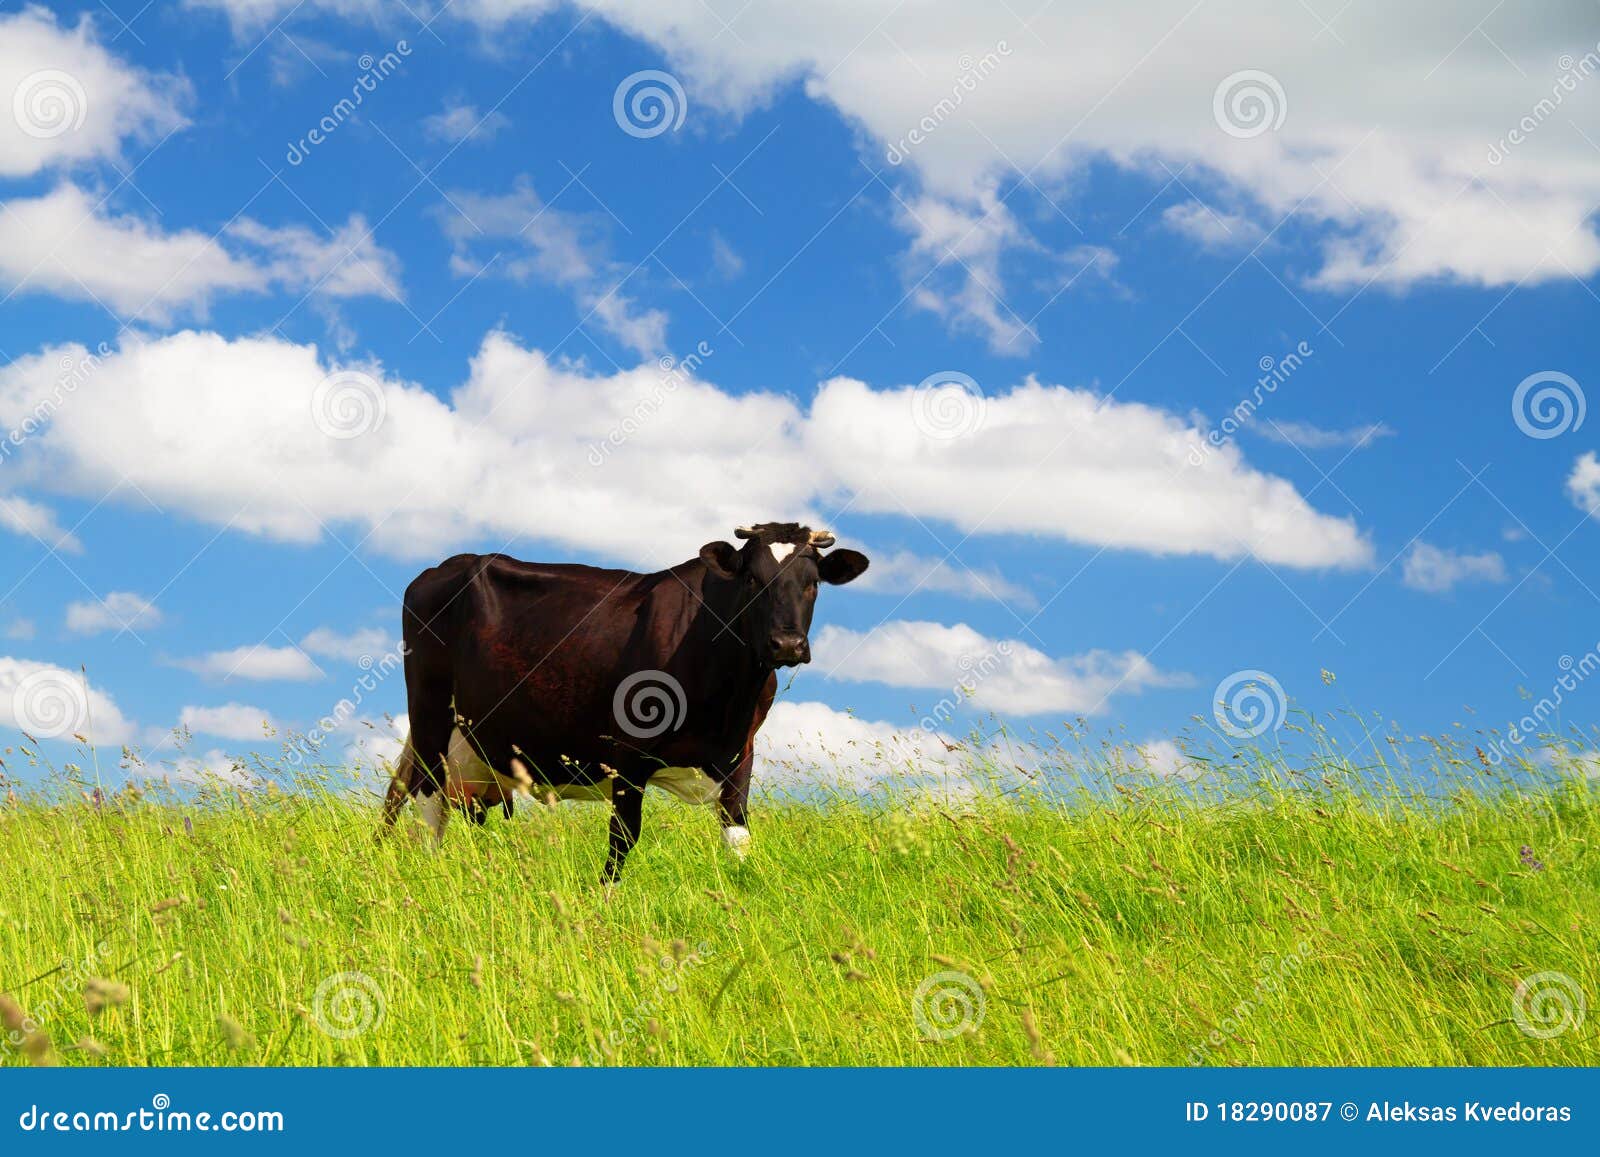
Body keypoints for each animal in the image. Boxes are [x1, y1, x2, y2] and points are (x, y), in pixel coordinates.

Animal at [377, 522, 869, 880]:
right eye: (752, 579)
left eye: (812, 582)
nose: (787, 644)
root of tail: (442, 568)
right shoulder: (629, 753)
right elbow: (623, 837)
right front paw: (605, 903)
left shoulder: (740, 753)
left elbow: (738, 838)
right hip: (431, 720)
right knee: (428, 811)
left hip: (477, 754)